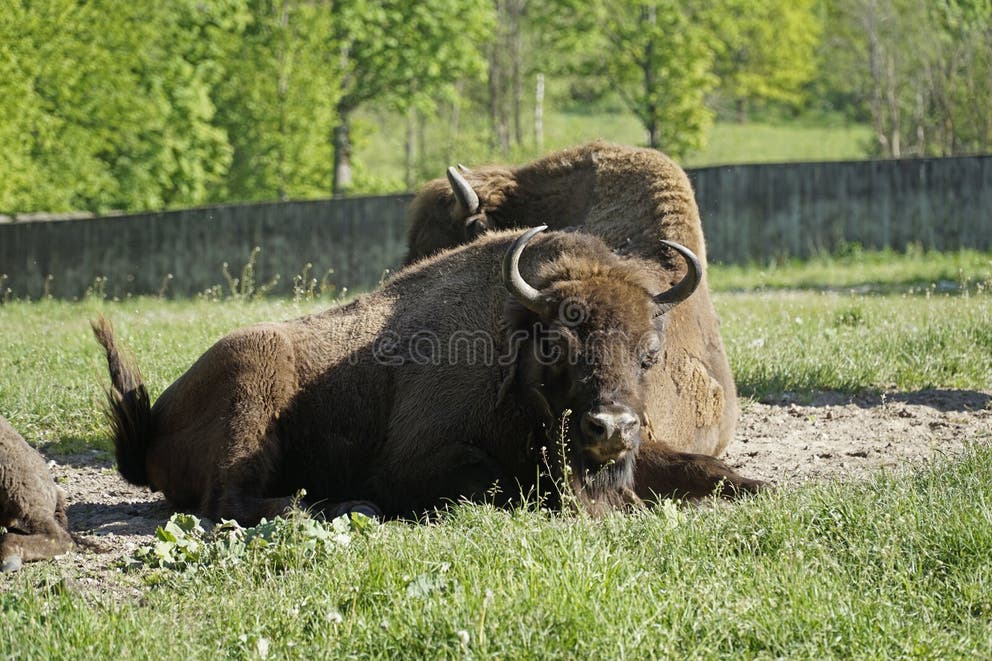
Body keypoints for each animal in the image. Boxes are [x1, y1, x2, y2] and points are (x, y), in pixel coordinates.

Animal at [94, 227, 761, 524]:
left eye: (650, 353)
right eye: (557, 344)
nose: (611, 428)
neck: (507, 339)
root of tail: (155, 423)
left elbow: (702, 468)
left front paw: (755, 487)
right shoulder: (414, 460)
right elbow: (497, 483)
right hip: (252, 378)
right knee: (229, 499)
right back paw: (332, 504)